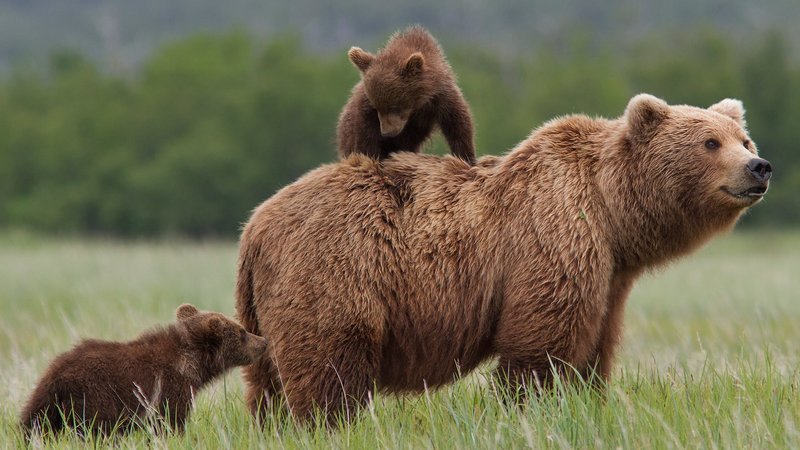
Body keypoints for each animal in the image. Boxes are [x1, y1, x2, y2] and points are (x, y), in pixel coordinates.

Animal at [20, 304, 268, 436]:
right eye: (242, 332)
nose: (263, 341)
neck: (193, 365)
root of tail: (56, 376)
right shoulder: (167, 387)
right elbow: (170, 421)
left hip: (42, 399)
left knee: (33, 425)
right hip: (92, 395)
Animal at [236, 94, 771, 425]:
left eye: (743, 139)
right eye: (710, 142)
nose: (758, 167)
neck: (612, 215)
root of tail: (255, 225)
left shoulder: (610, 277)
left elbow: (595, 349)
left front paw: (588, 404)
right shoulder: (553, 238)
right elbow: (541, 347)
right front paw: (528, 408)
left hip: (266, 305)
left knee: (267, 383)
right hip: (336, 270)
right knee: (330, 370)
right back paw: (328, 424)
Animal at [336, 25, 477, 165]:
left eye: (394, 106)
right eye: (377, 107)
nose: (386, 133)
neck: (418, 105)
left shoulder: (441, 96)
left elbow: (458, 123)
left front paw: (466, 157)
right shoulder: (365, 108)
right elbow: (365, 134)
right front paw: (369, 157)